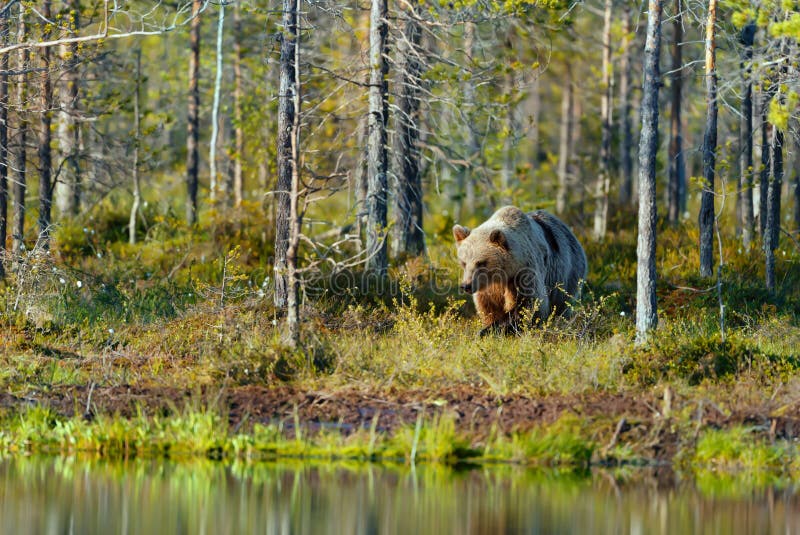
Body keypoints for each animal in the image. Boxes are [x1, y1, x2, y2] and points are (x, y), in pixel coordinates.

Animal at [453, 206, 587, 336]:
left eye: (481, 263)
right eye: (464, 262)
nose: (466, 285)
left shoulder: (524, 272)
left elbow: (529, 305)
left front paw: (490, 330)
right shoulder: (489, 288)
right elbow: (489, 307)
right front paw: (489, 326)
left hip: (568, 272)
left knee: (563, 303)